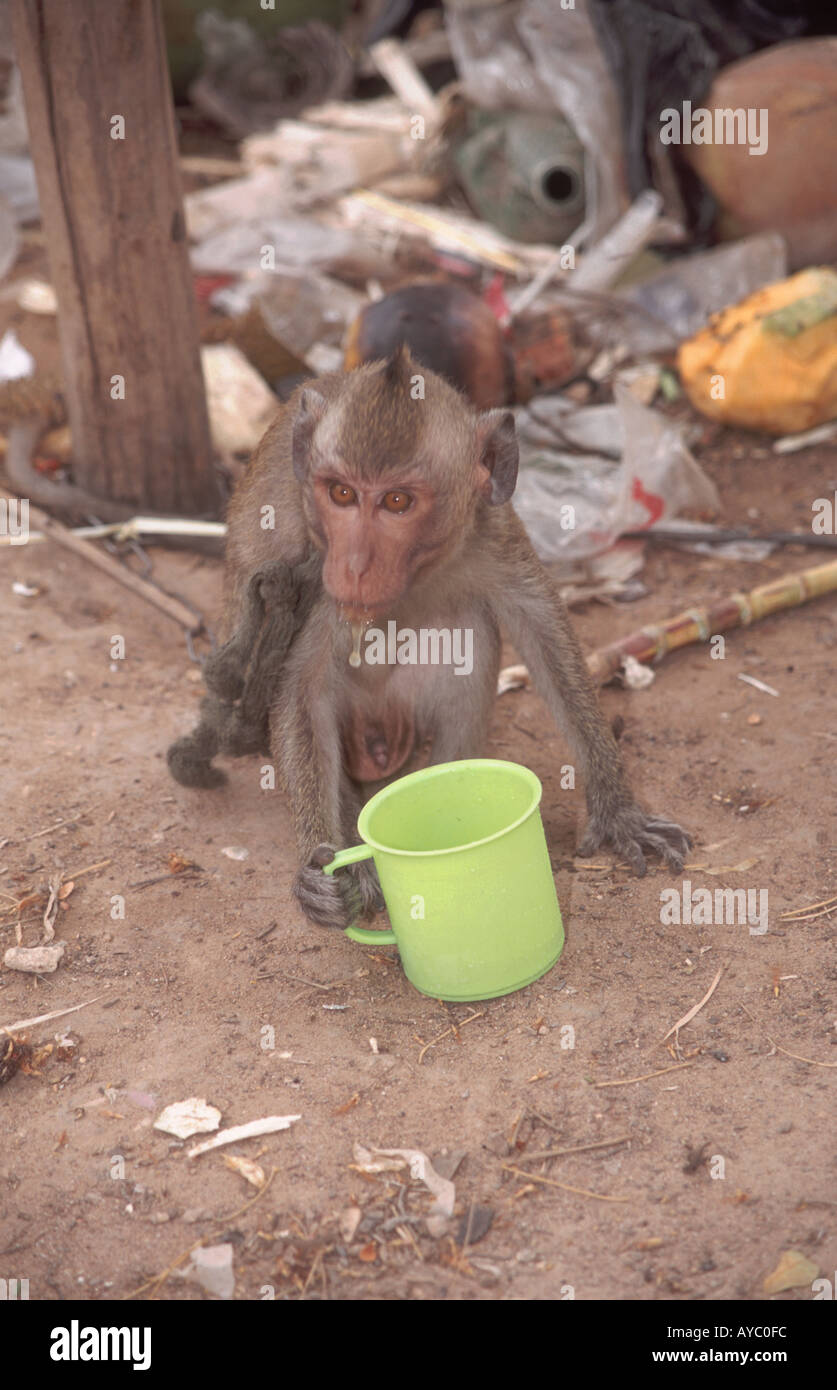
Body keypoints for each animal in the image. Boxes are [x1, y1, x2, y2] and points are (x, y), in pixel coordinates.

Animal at [218, 345, 691, 929]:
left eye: (397, 501)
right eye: (341, 493)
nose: (353, 567)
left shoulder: (489, 525)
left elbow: (540, 626)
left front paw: (617, 810)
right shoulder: (305, 565)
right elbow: (299, 689)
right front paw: (325, 868)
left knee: (471, 632)